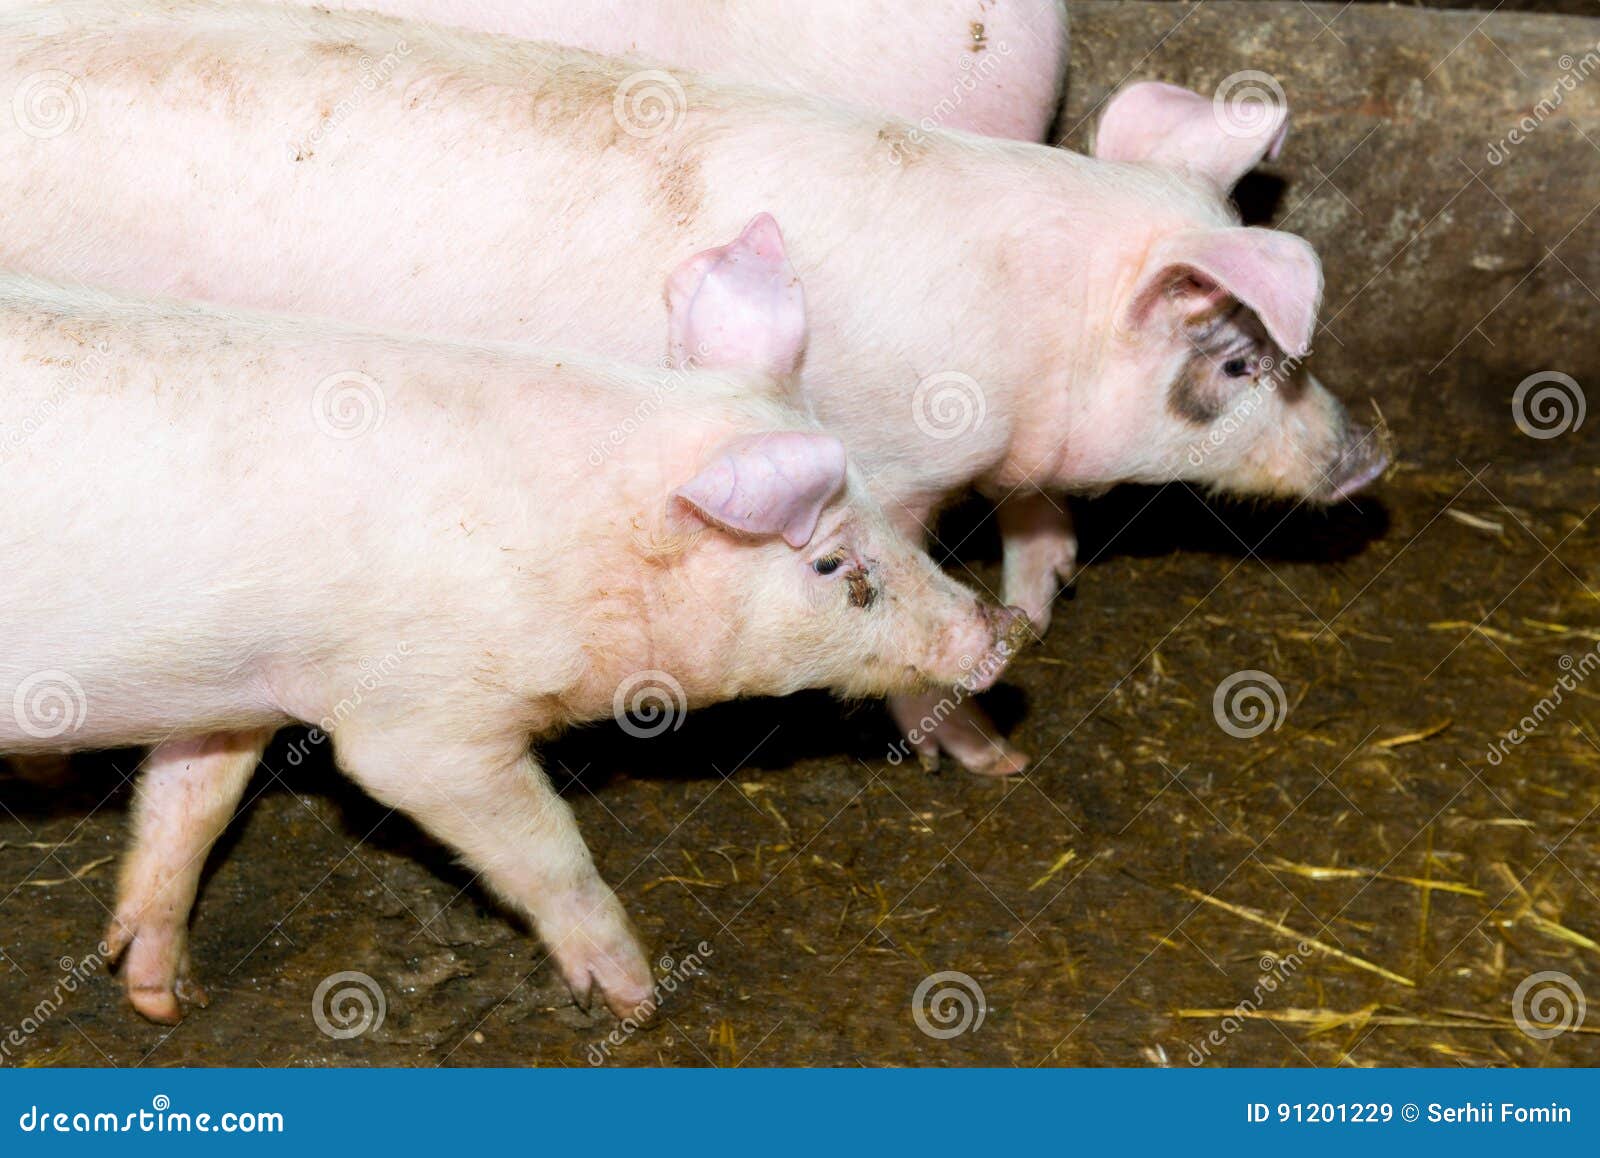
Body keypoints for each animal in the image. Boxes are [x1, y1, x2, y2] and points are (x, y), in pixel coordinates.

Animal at [0, 2, 1388, 775]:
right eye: (1237, 361)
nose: (1371, 455)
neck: (1017, 326)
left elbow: (1039, 510)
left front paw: (1040, 607)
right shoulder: (883, 467)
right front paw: (986, 757)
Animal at [0, 224, 1023, 1024]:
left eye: (880, 511)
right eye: (830, 564)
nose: (1002, 627)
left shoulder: (231, 679)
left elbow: (190, 805)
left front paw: (159, 996)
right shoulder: (419, 721)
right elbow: (545, 847)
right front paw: (636, 999)